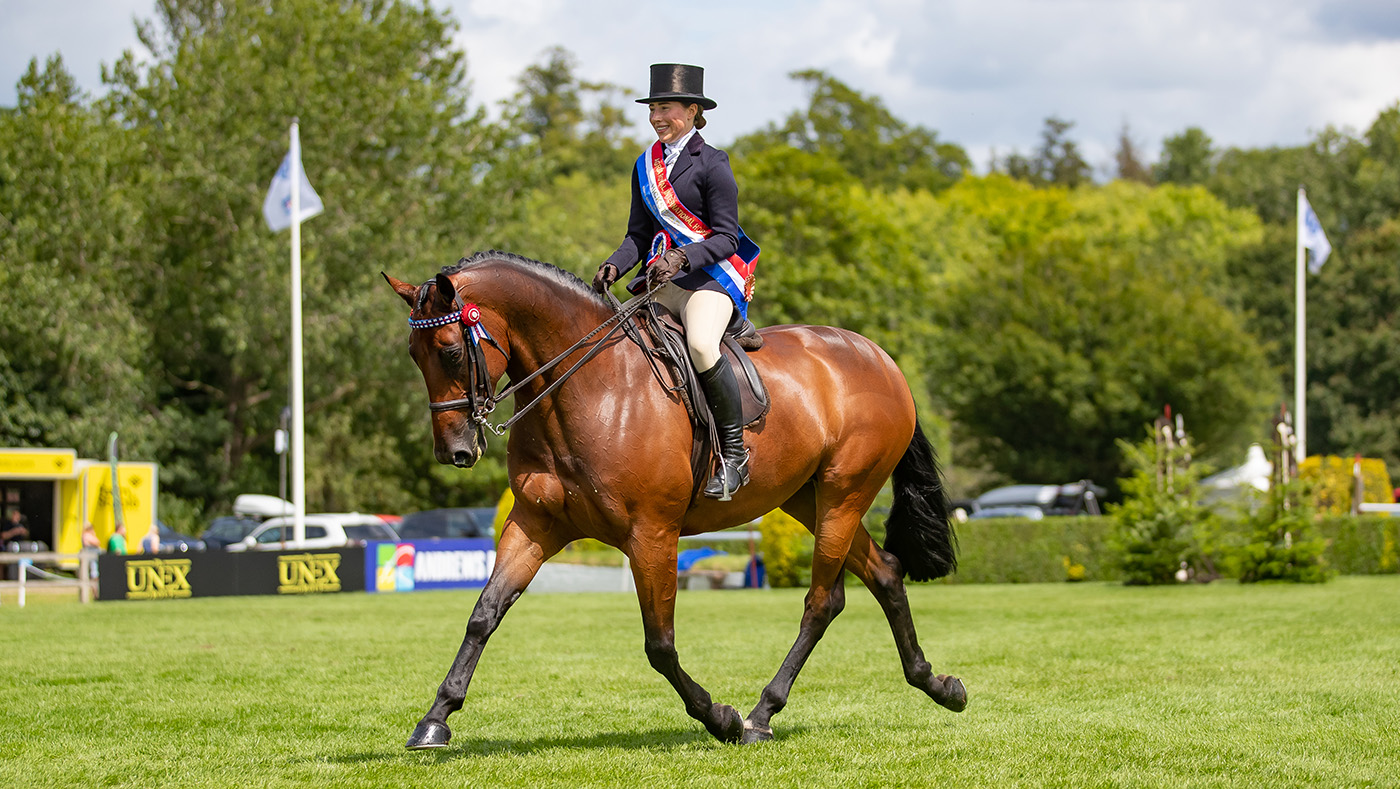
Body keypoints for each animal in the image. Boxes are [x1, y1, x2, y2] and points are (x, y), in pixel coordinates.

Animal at [383, 251, 966, 748]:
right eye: (413, 355)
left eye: (450, 351)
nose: (455, 451)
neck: (588, 388)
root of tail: (880, 357)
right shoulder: (535, 526)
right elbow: (484, 614)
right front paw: (435, 720)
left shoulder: (652, 535)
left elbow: (659, 645)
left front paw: (720, 718)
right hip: (808, 498)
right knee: (885, 572)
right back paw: (937, 684)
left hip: (846, 493)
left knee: (823, 601)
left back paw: (760, 715)